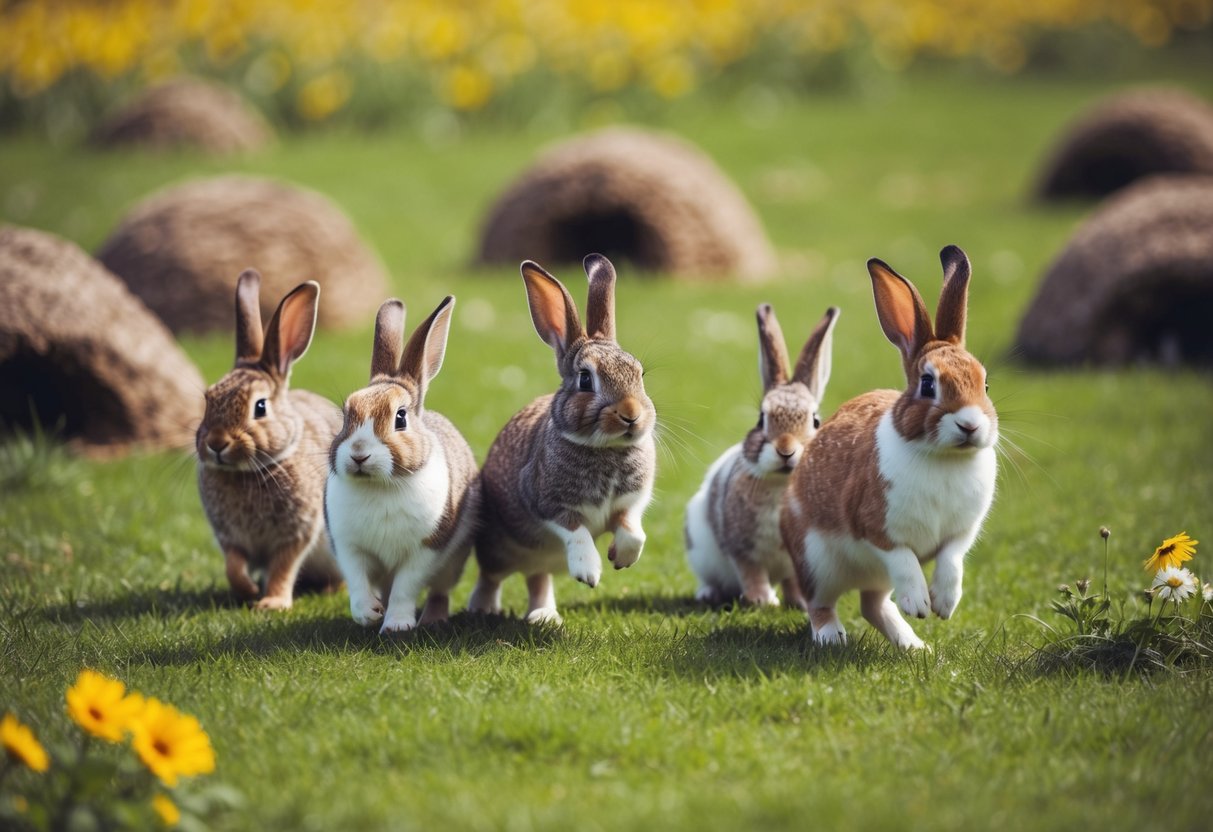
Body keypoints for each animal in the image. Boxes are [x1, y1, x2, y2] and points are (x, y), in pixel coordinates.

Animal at [196, 269, 344, 610]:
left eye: (260, 407)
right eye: (208, 400)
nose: (216, 443)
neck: (247, 473)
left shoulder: (296, 533)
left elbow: (283, 567)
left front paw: (271, 603)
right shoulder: (230, 539)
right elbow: (233, 565)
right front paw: (248, 590)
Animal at [325, 296, 480, 633]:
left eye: (400, 418)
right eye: (346, 415)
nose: (358, 454)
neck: (380, 486)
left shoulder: (426, 549)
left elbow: (405, 587)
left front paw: (396, 626)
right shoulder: (348, 546)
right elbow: (357, 582)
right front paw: (368, 614)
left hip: (453, 563)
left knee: (439, 592)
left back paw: (433, 620)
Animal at [468, 254, 656, 625]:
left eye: (639, 374)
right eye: (585, 379)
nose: (631, 414)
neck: (605, 448)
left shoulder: (631, 502)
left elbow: (633, 529)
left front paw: (621, 557)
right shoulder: (547, 502)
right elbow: (576, 531)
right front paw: (589, 573)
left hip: (542, 563)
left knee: (538, 579)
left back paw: (544, 616)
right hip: (497, 548)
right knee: (491, 576)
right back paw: (482, 608)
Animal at [686, 303, 839, 610]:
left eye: (816, 421)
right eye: (761, 420)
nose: (786, 450)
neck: (781, 485)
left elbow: (794, 580)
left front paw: (799, 602)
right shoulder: (742, 550)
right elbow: (752, 574)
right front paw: (762, 601)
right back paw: (709, 594)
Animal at [779, 245, 998, 650]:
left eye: (985, 384)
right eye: (928, 384)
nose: (970, 424)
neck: (944, 458)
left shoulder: (961, 534)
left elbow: (952, 560)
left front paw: (944, 605)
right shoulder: (877, 528)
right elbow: (905, 560)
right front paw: (919, 603)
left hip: (874, 579)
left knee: (873, 605)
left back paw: (915, 647)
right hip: (817, 563)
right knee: (821, 603)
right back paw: (833, 637)